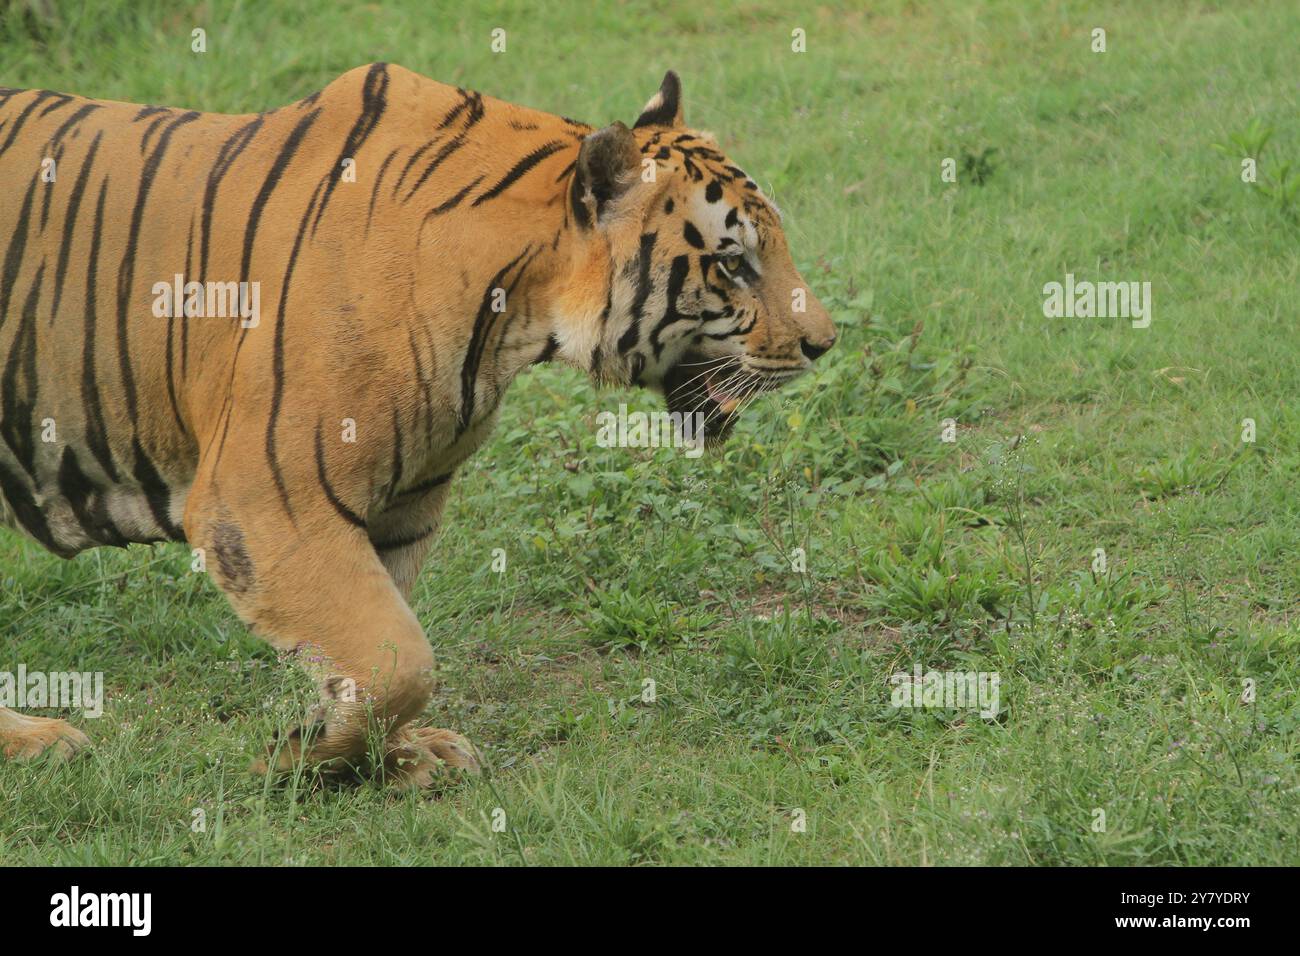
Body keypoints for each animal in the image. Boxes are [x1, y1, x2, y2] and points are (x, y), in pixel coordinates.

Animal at [0, 65, 835, 783]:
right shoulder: (265, 500)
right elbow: (400, 659)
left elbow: (378, 649)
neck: (514, 318)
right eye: (732, 264)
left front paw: (383, 756)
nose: (825, 343)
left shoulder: (401, 506)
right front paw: (306, 755)